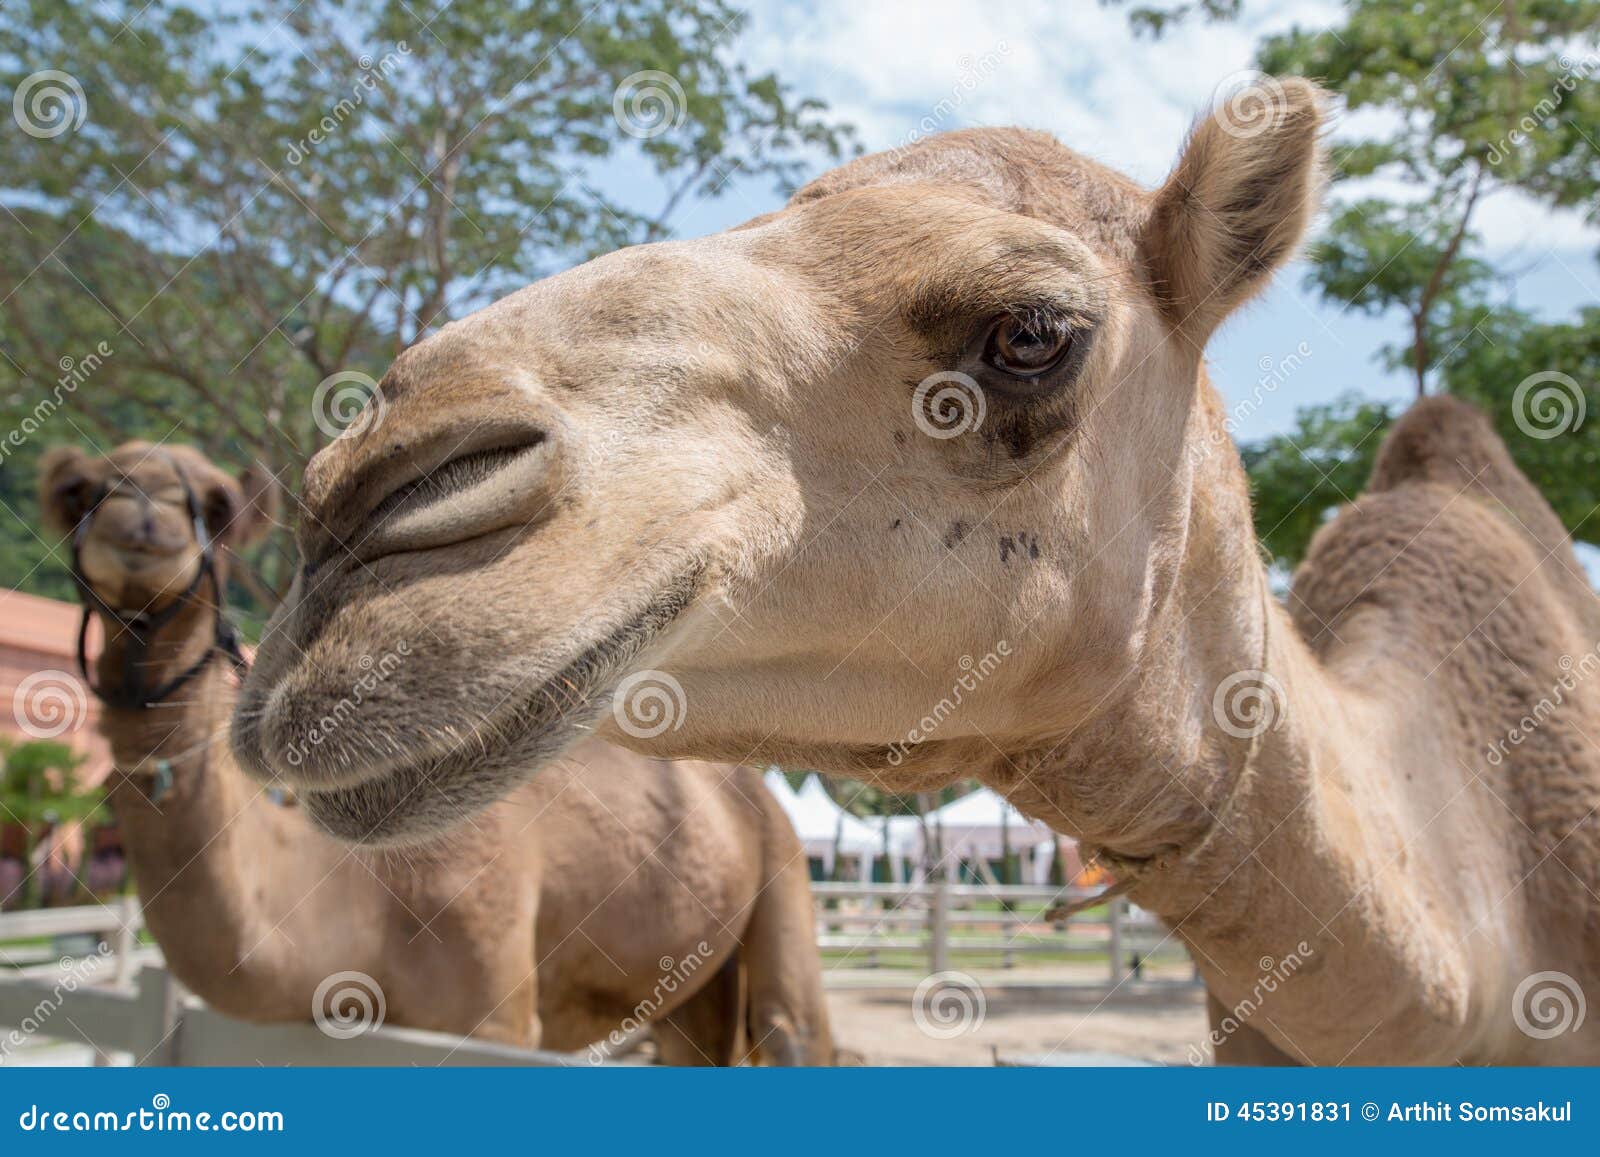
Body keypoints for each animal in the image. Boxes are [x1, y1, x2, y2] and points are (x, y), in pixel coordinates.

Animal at [39, 442, 833, 1063]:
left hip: (785, 870)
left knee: (794, 1029)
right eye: (81, 493)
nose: (142, 515)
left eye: (218, 503)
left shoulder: (494, 1007)